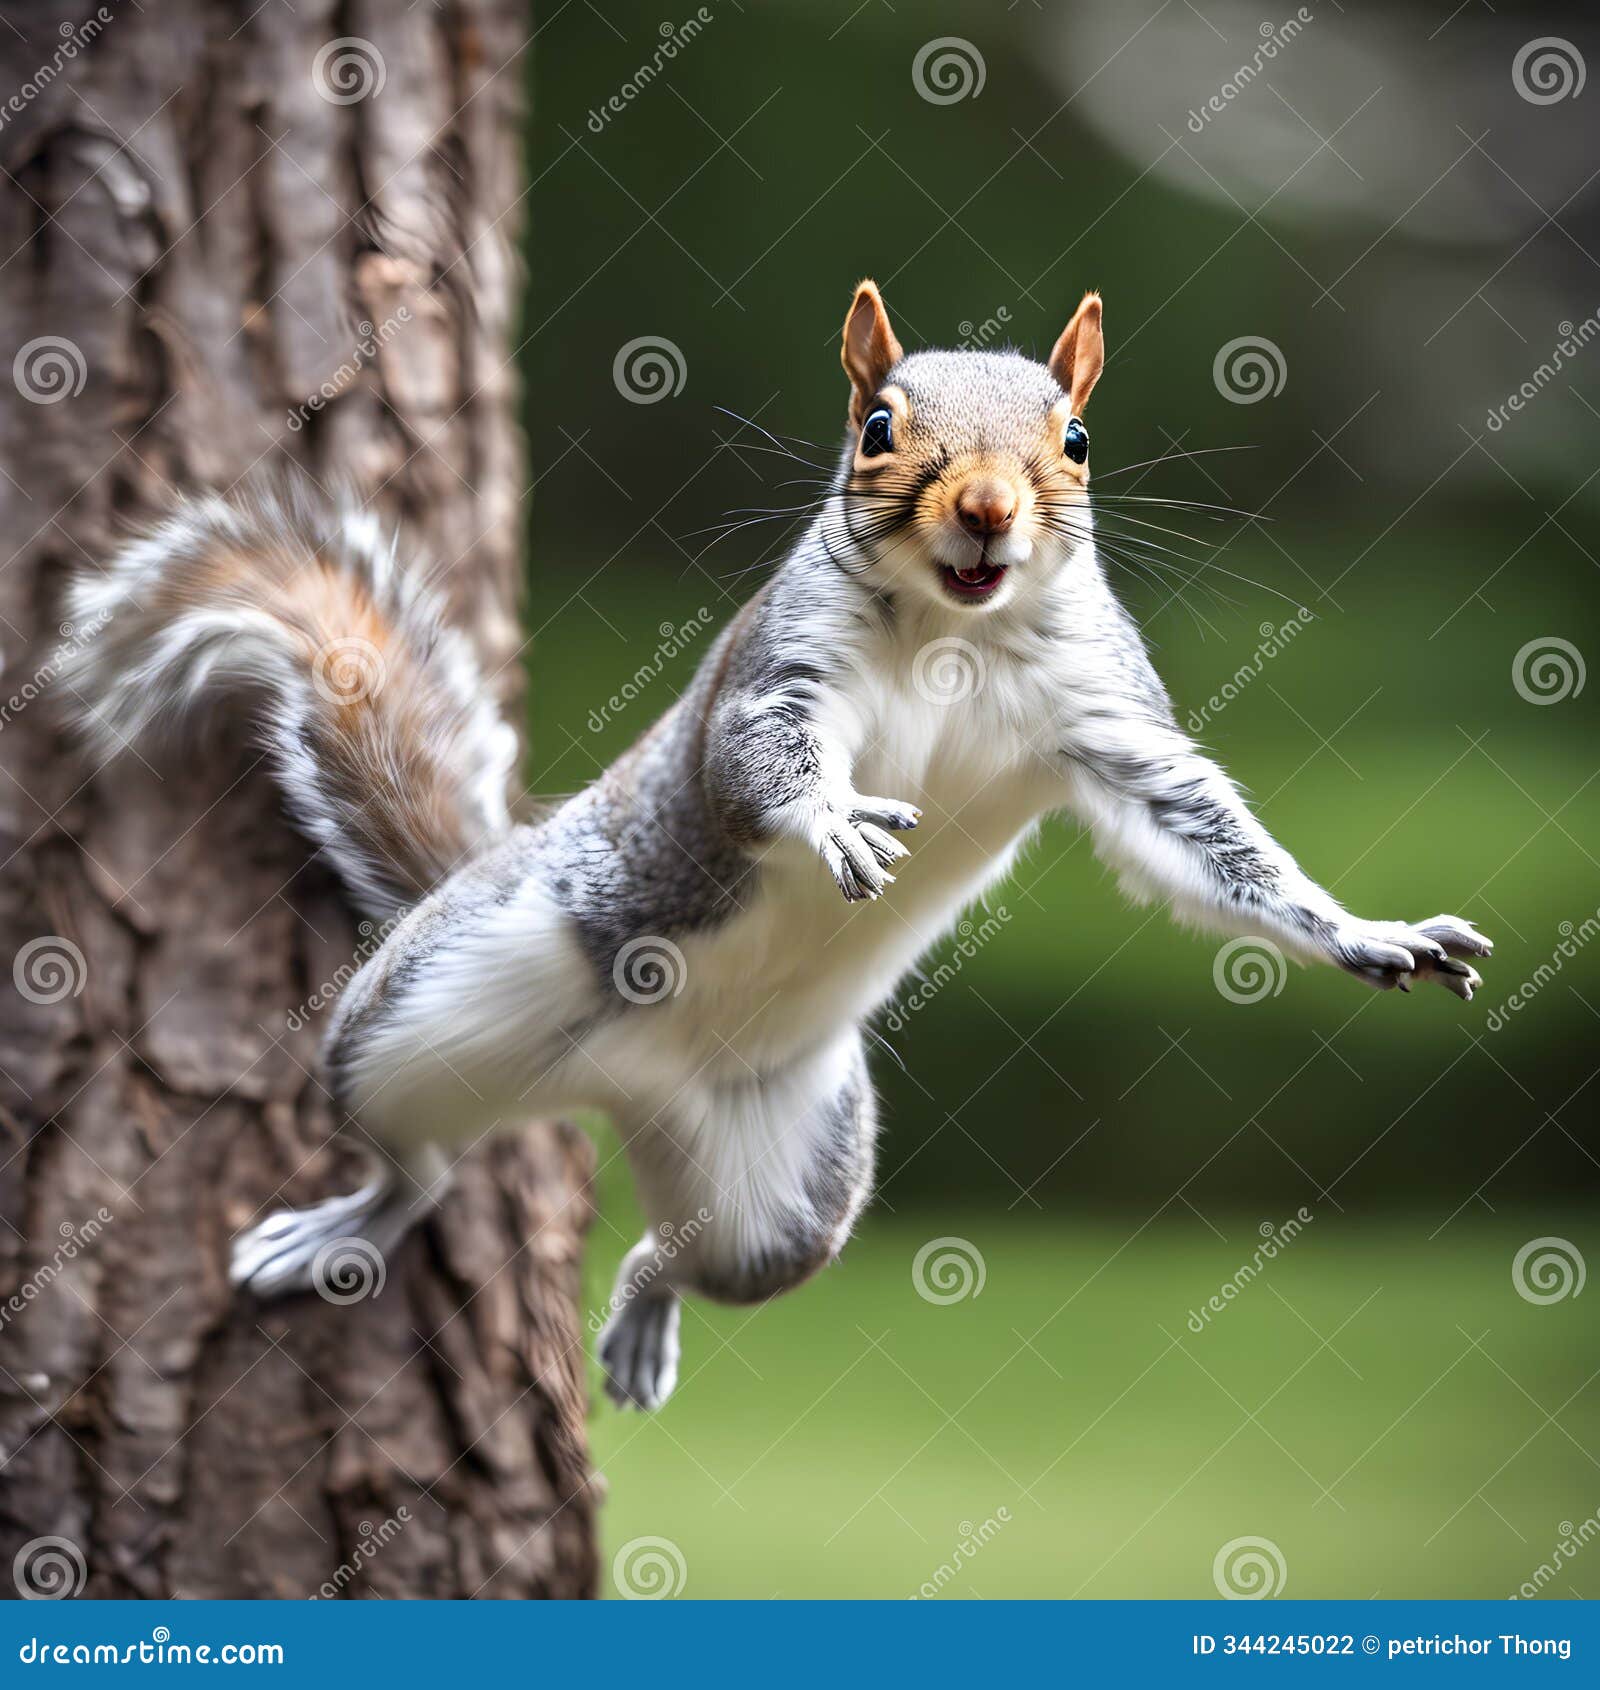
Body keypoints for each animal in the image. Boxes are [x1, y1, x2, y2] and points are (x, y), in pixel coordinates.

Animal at [63, 282, 1492, 1411]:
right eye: (877, 427)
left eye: (1076, 438)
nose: (986, 508)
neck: (953, 626)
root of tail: (624, 1087)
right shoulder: (779, 676)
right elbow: (758, 761)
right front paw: (832, 818)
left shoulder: (1108, 722)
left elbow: (1199, 835)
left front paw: (1369, 935)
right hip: (414, 1012)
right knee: (412, 1161)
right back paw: (349, 1221)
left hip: (792, 1186)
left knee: (686, 1256)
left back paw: (641, 1312)